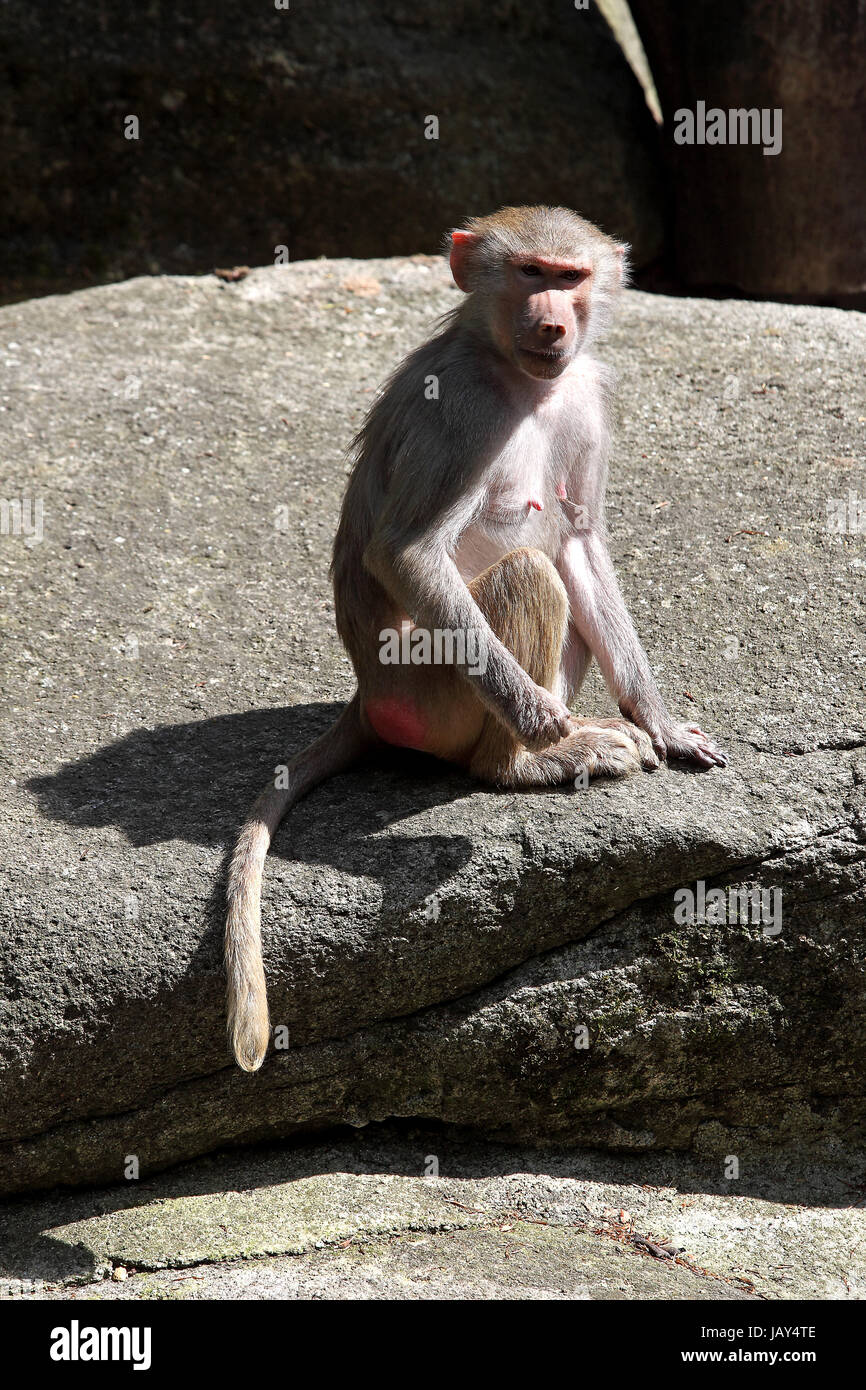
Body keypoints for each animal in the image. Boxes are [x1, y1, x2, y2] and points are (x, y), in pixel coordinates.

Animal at [225, 204, 727, 1072]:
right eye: (530, 273)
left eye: (571, 276)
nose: (552, 322)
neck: (521, 379)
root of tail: (367, 693)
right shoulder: (454, 408)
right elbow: (406, 553)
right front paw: (539, 724)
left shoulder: (584, 398)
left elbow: (583, 540)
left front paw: (660, 721)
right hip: (431, 694)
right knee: (529, 574)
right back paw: (528, 759)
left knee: (558, 563)